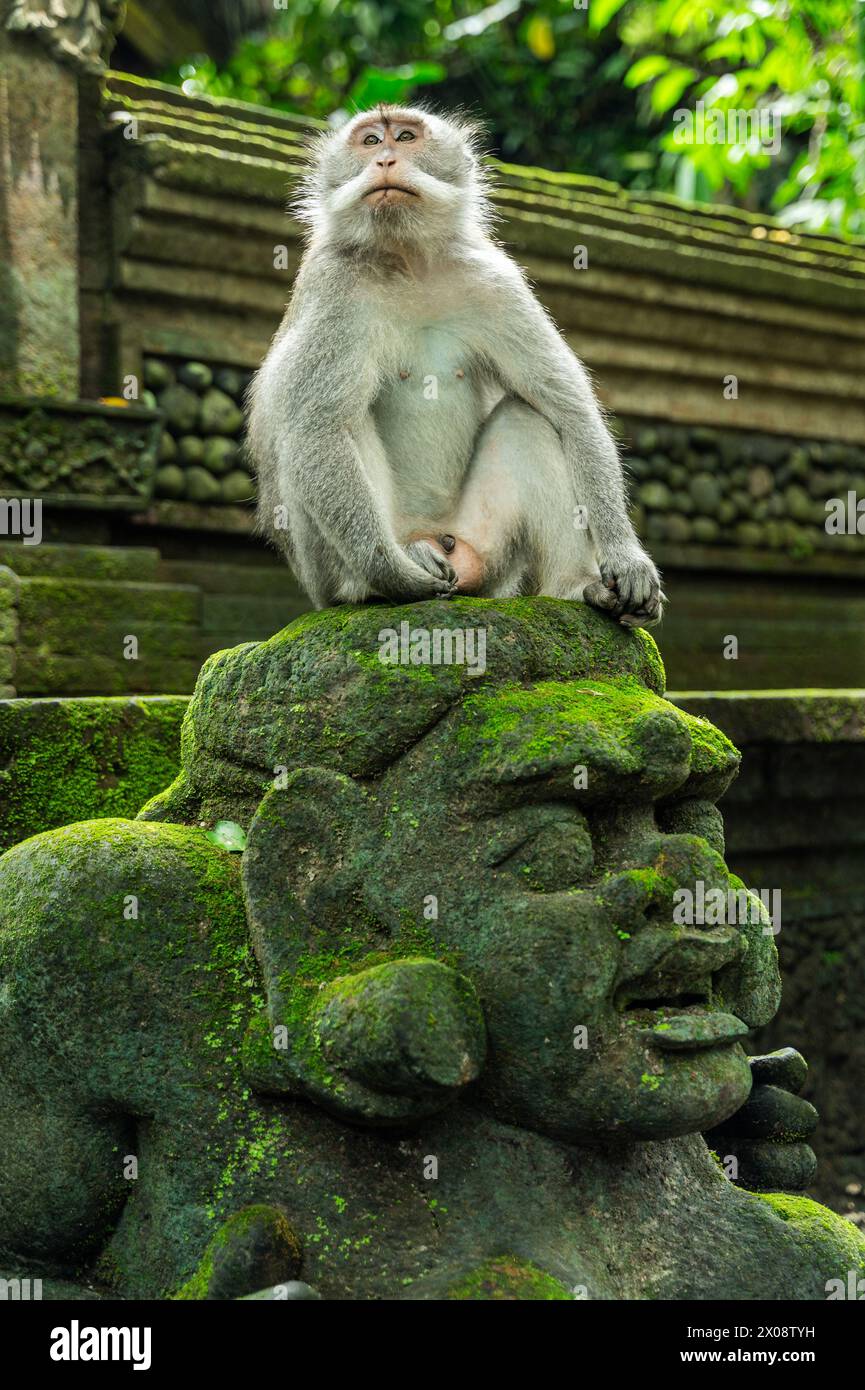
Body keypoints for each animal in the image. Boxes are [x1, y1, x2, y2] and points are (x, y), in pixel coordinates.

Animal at [246, 104, 663, 627]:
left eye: (405, 137)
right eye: (369, 141)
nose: (385, 159)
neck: (408, 261)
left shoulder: (495, 281)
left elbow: (569, 411)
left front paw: (626, 559)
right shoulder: (333, 284)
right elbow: (315, 431)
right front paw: (391, 573)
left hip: (487, 551)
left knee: (528, 418)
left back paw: (575, 587)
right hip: (325, 571)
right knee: (339, 423)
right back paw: (379, 578)